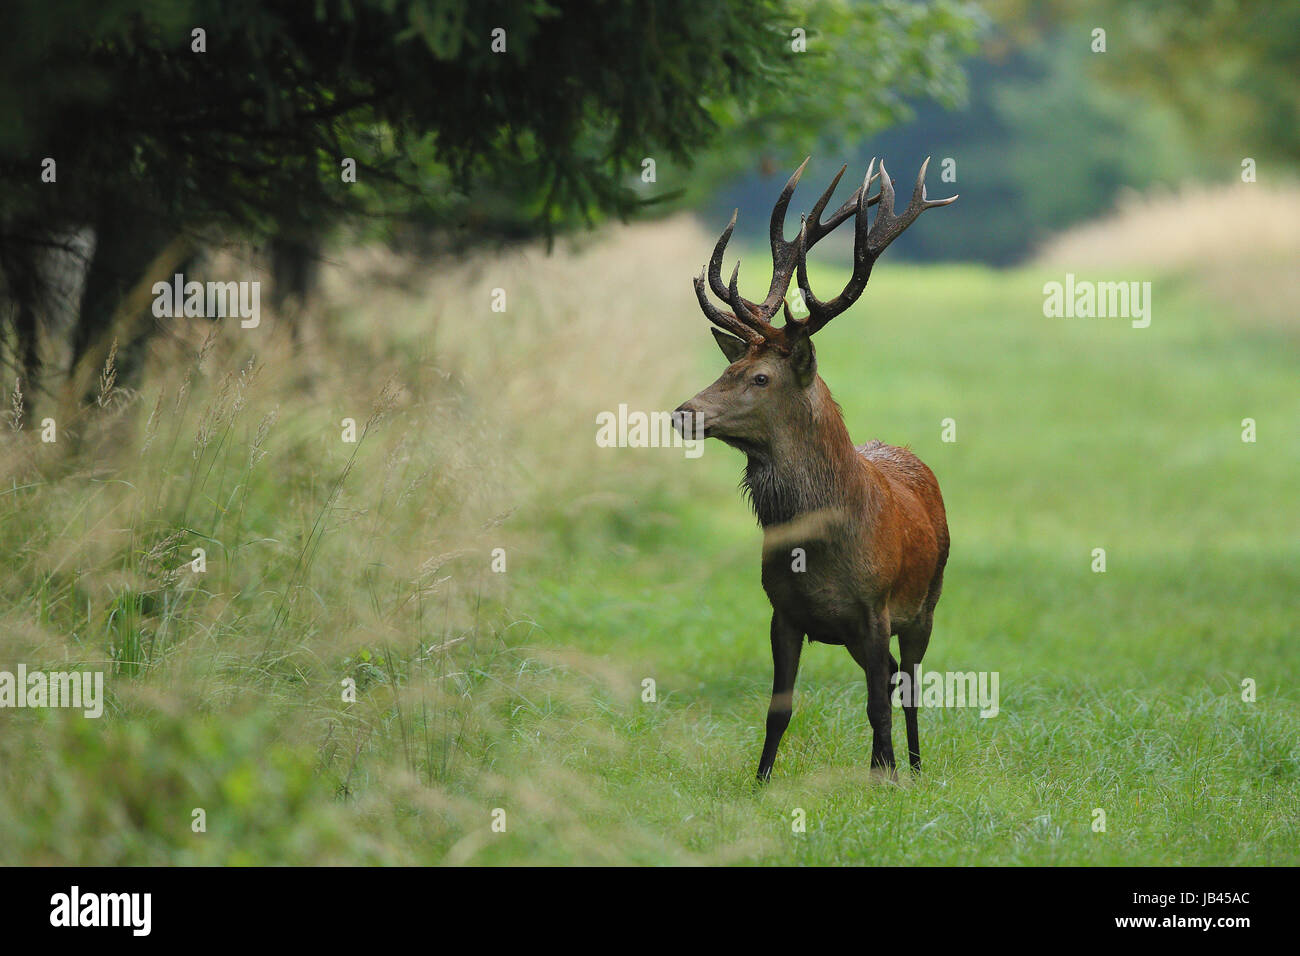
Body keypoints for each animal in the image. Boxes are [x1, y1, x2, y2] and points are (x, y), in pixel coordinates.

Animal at [673, 157, 954, 782]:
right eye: (729, 368)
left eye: (760, 378)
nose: (683, 413)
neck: (818, 549)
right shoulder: (784, 613)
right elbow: (779, 707)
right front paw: (760, 782)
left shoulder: (875, 609)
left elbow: (879, 704)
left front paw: (884, 779)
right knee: (893, 676)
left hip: (926, 602)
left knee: (908, 682)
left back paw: (915, 765)